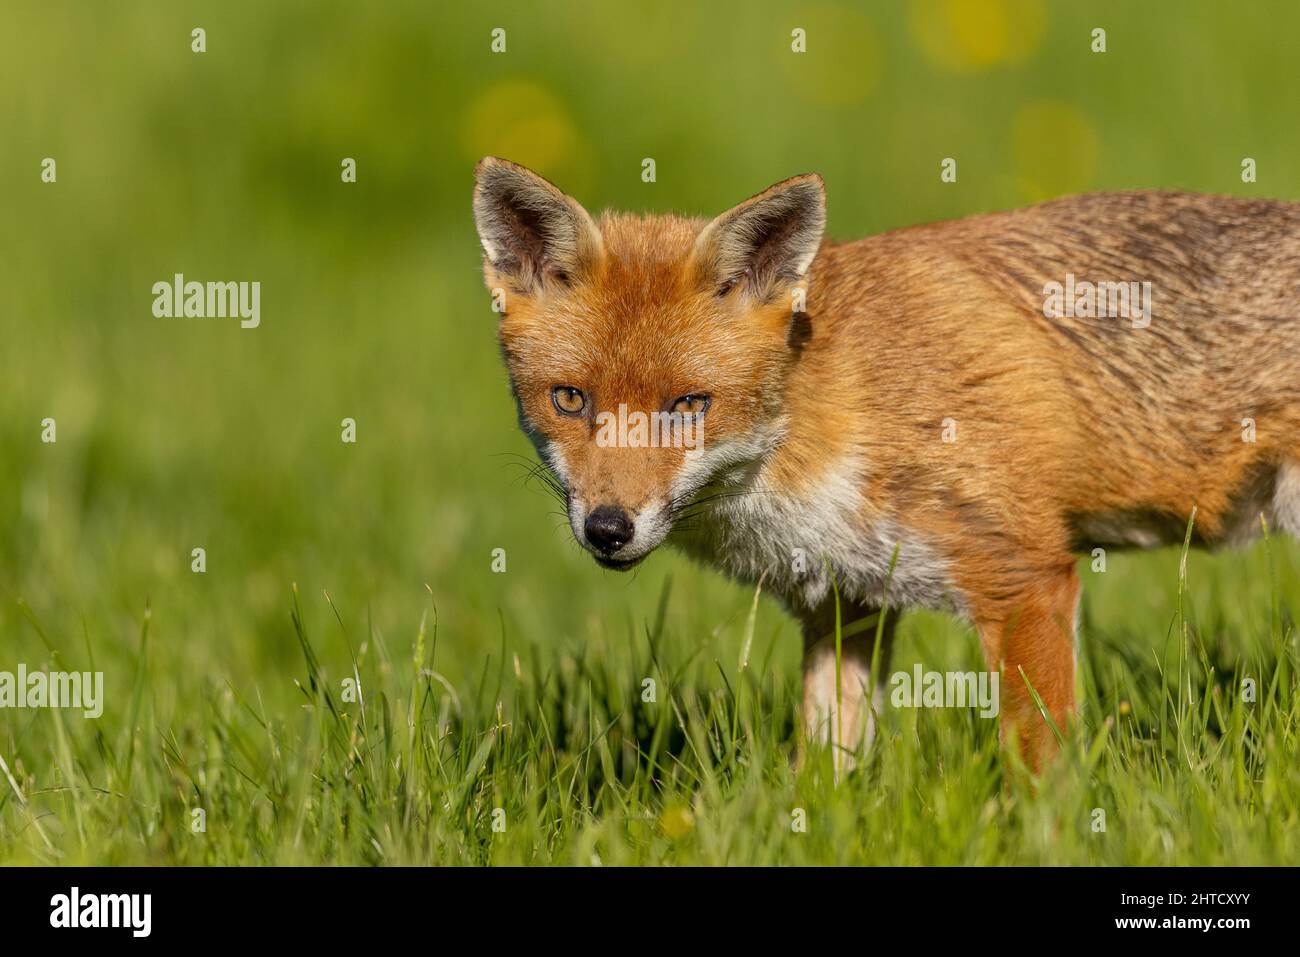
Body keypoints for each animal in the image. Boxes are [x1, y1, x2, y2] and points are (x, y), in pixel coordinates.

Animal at [472, 156, 1300, 771]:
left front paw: (1047, 831)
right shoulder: (845, 602)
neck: (830, 414)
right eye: (570, 399)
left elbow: (1040, 765)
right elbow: (824, 769)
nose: (608, 529)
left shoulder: (1024, 574)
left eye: (688, 404)